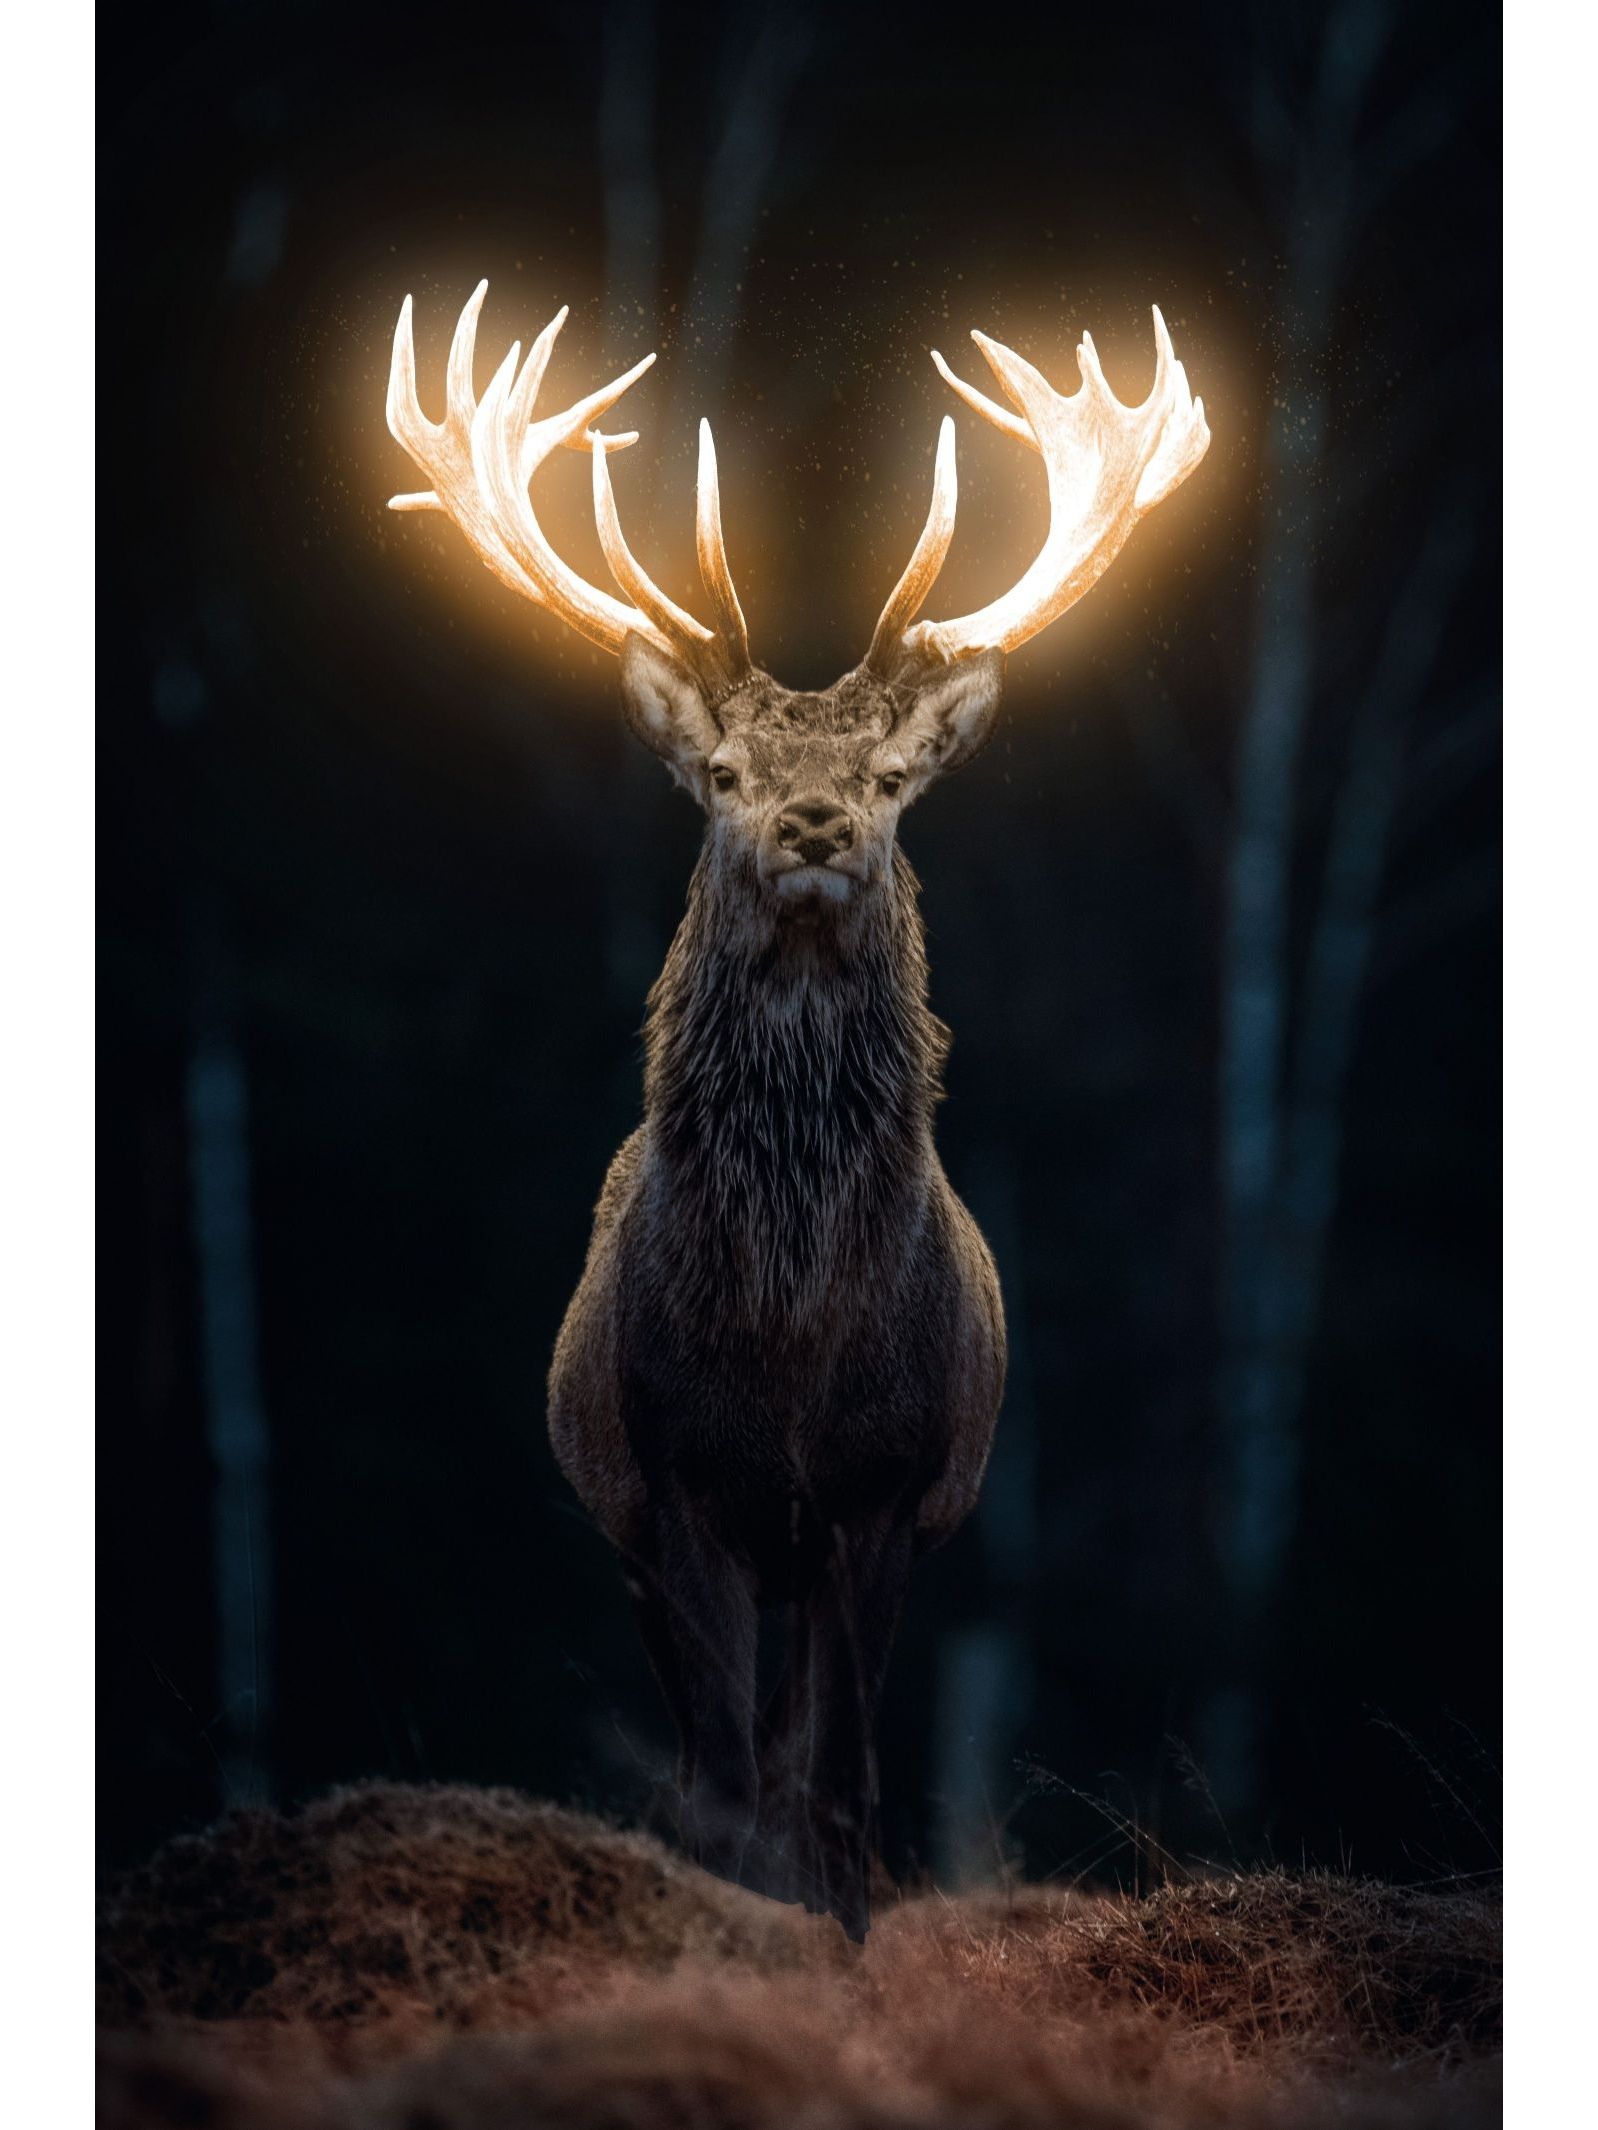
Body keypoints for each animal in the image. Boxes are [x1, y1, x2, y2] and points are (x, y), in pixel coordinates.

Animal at [384, 281, 1209, 1939]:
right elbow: (721, 1787)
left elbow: (837, 1781)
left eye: (891, 775)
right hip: (634, 1529)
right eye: (719, 768)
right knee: (715, 1754)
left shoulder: (883, 1494)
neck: (783, 1340)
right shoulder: (673, 1485)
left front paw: (839, 1928)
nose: (815, 821)